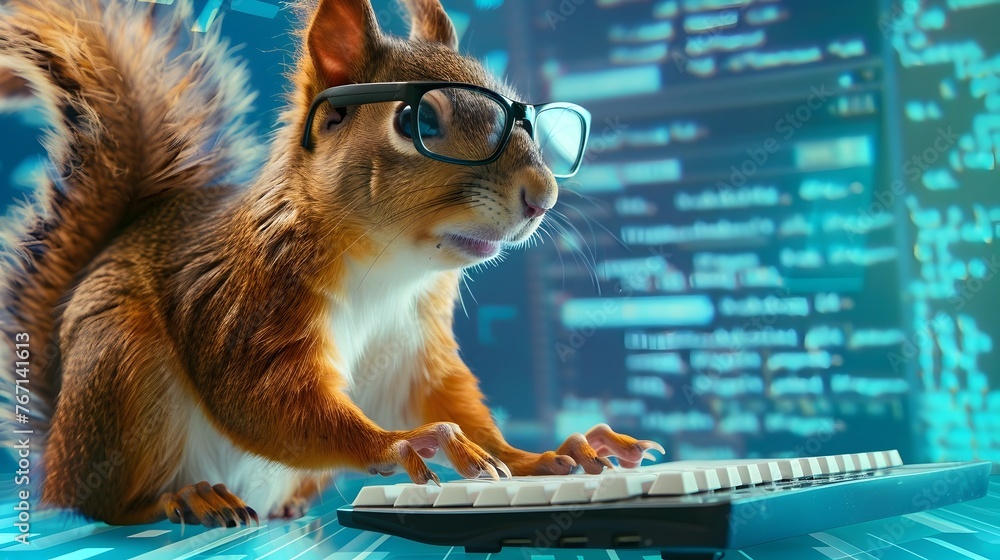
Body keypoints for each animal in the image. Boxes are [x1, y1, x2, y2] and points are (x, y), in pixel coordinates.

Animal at [0, 0, 663, 527]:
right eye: (419, 120)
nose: (542, 196)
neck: (392, 266)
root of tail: (56, 447)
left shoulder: (415, 349)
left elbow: (454, 407)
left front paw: (548, 456)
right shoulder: (248, 306)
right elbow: (264, 401)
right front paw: (403, 443)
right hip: (120, 370)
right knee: (104, 505)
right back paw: (185, 498)